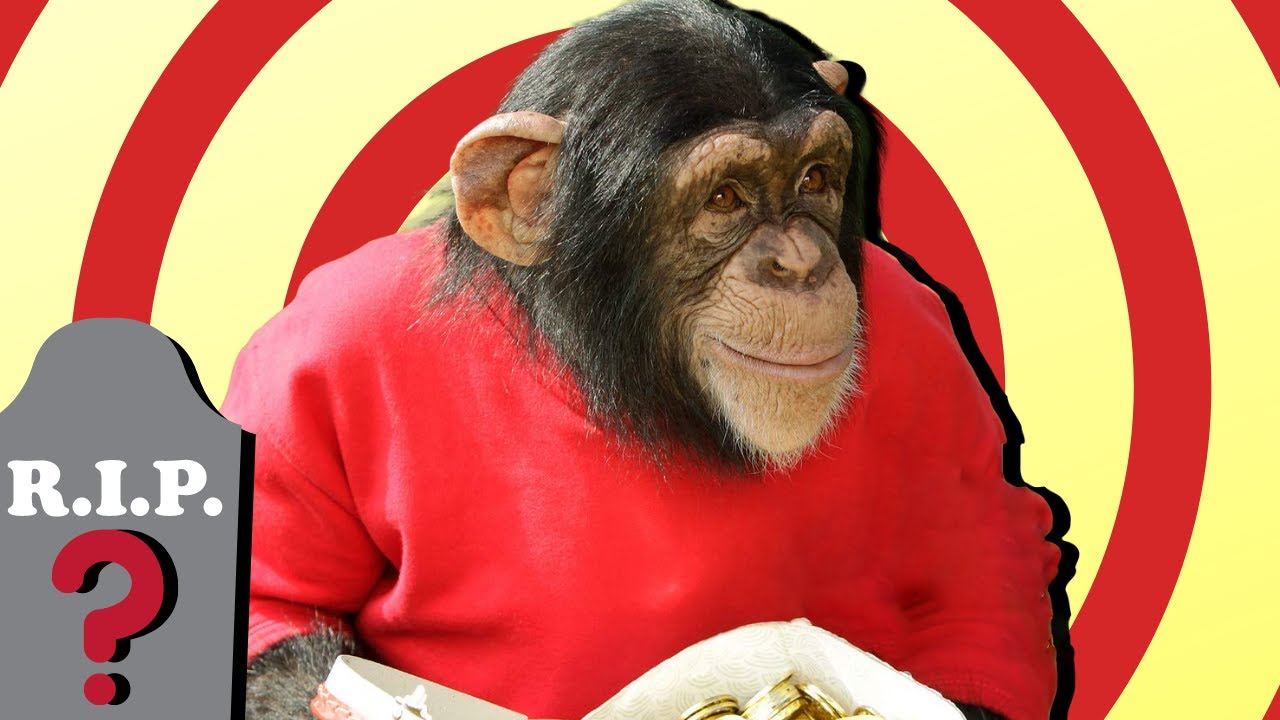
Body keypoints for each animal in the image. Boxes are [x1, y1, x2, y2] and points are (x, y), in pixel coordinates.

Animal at [229, 2, 1065, 719]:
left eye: (815, 179)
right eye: (725, 198)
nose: (798, 263)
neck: (607, 369)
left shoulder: (923, 335)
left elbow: (978, 553)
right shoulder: (308, 354)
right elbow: (269, 605)